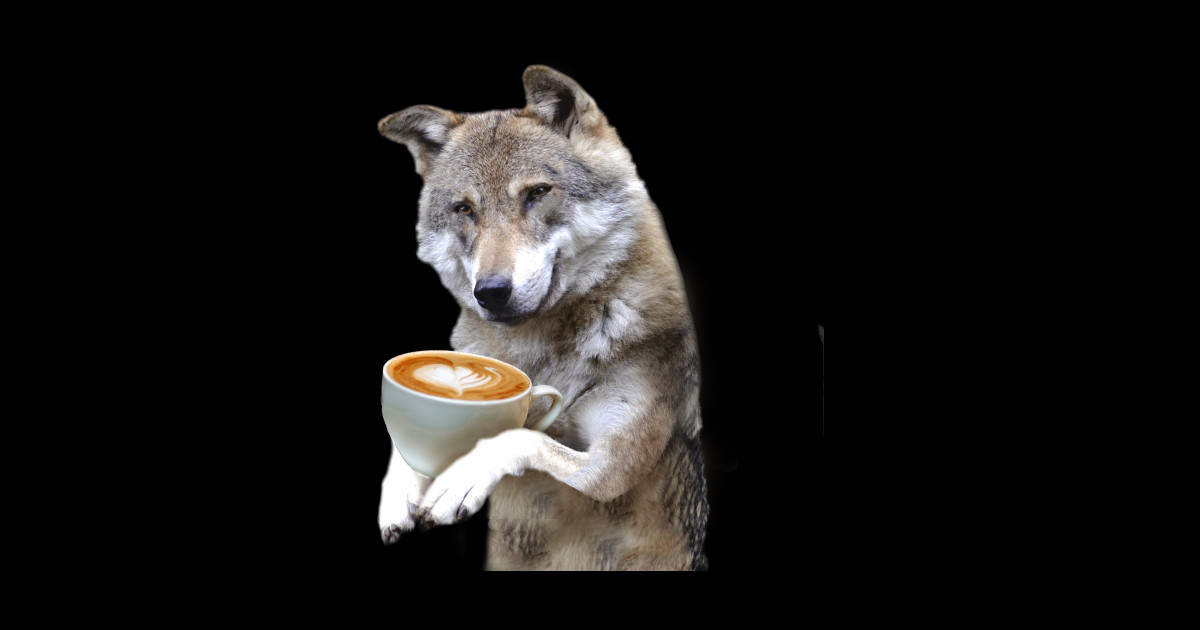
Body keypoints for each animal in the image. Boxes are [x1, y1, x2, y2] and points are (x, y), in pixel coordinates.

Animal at [375, 65, 707, 570]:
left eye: (536, 193)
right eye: (464, 209)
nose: (491, 292)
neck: (544, 352)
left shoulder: (612, 465)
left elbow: (519, 438)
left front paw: (457, 479)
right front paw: (398, 493)